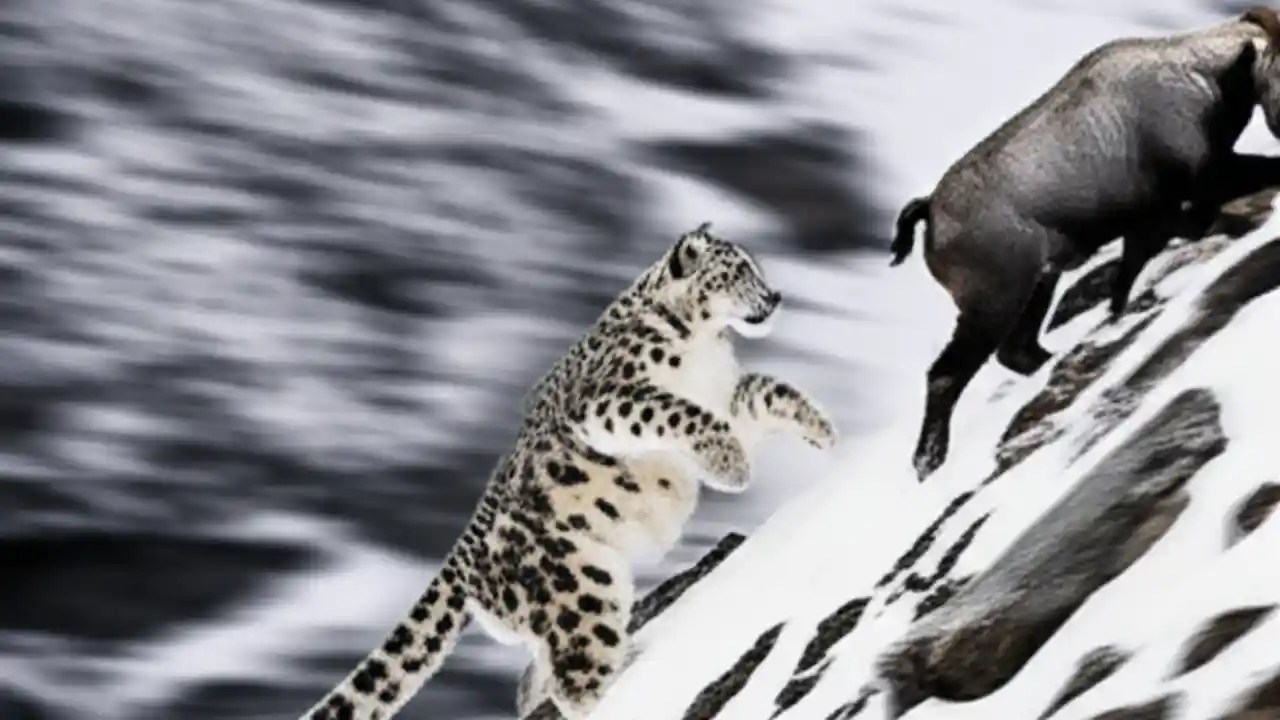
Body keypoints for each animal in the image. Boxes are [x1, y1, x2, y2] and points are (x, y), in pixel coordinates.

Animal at [891, 7, 1280, 480]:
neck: (1198, 74)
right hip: (996, 300)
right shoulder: (1203, 182)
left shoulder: (1158, 216)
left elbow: (1132, 270)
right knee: (948, 375)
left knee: (1017, 352)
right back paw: (929, 460)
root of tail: (932, 210)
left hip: (1037, 285)